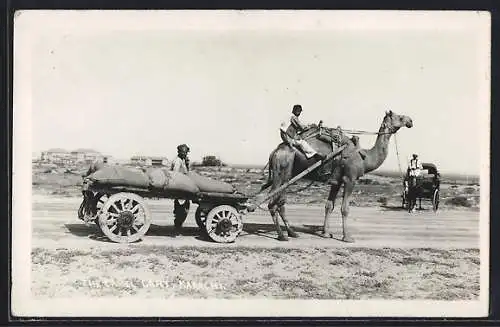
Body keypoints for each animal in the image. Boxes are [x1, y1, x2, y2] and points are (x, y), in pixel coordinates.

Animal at [260, 111, 412, 242]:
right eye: (399, 116)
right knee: (272, 202)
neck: (365, 158)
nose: (410, 121)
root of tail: (274, 152)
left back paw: (292, 233)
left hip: (287, 175)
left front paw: (326, 233)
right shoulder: (350, 179)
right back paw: (282, 235)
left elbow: (329, 206)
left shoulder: (336, 181)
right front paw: (347, 237)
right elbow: (345, 209)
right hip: (282, 171)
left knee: (280, 202)